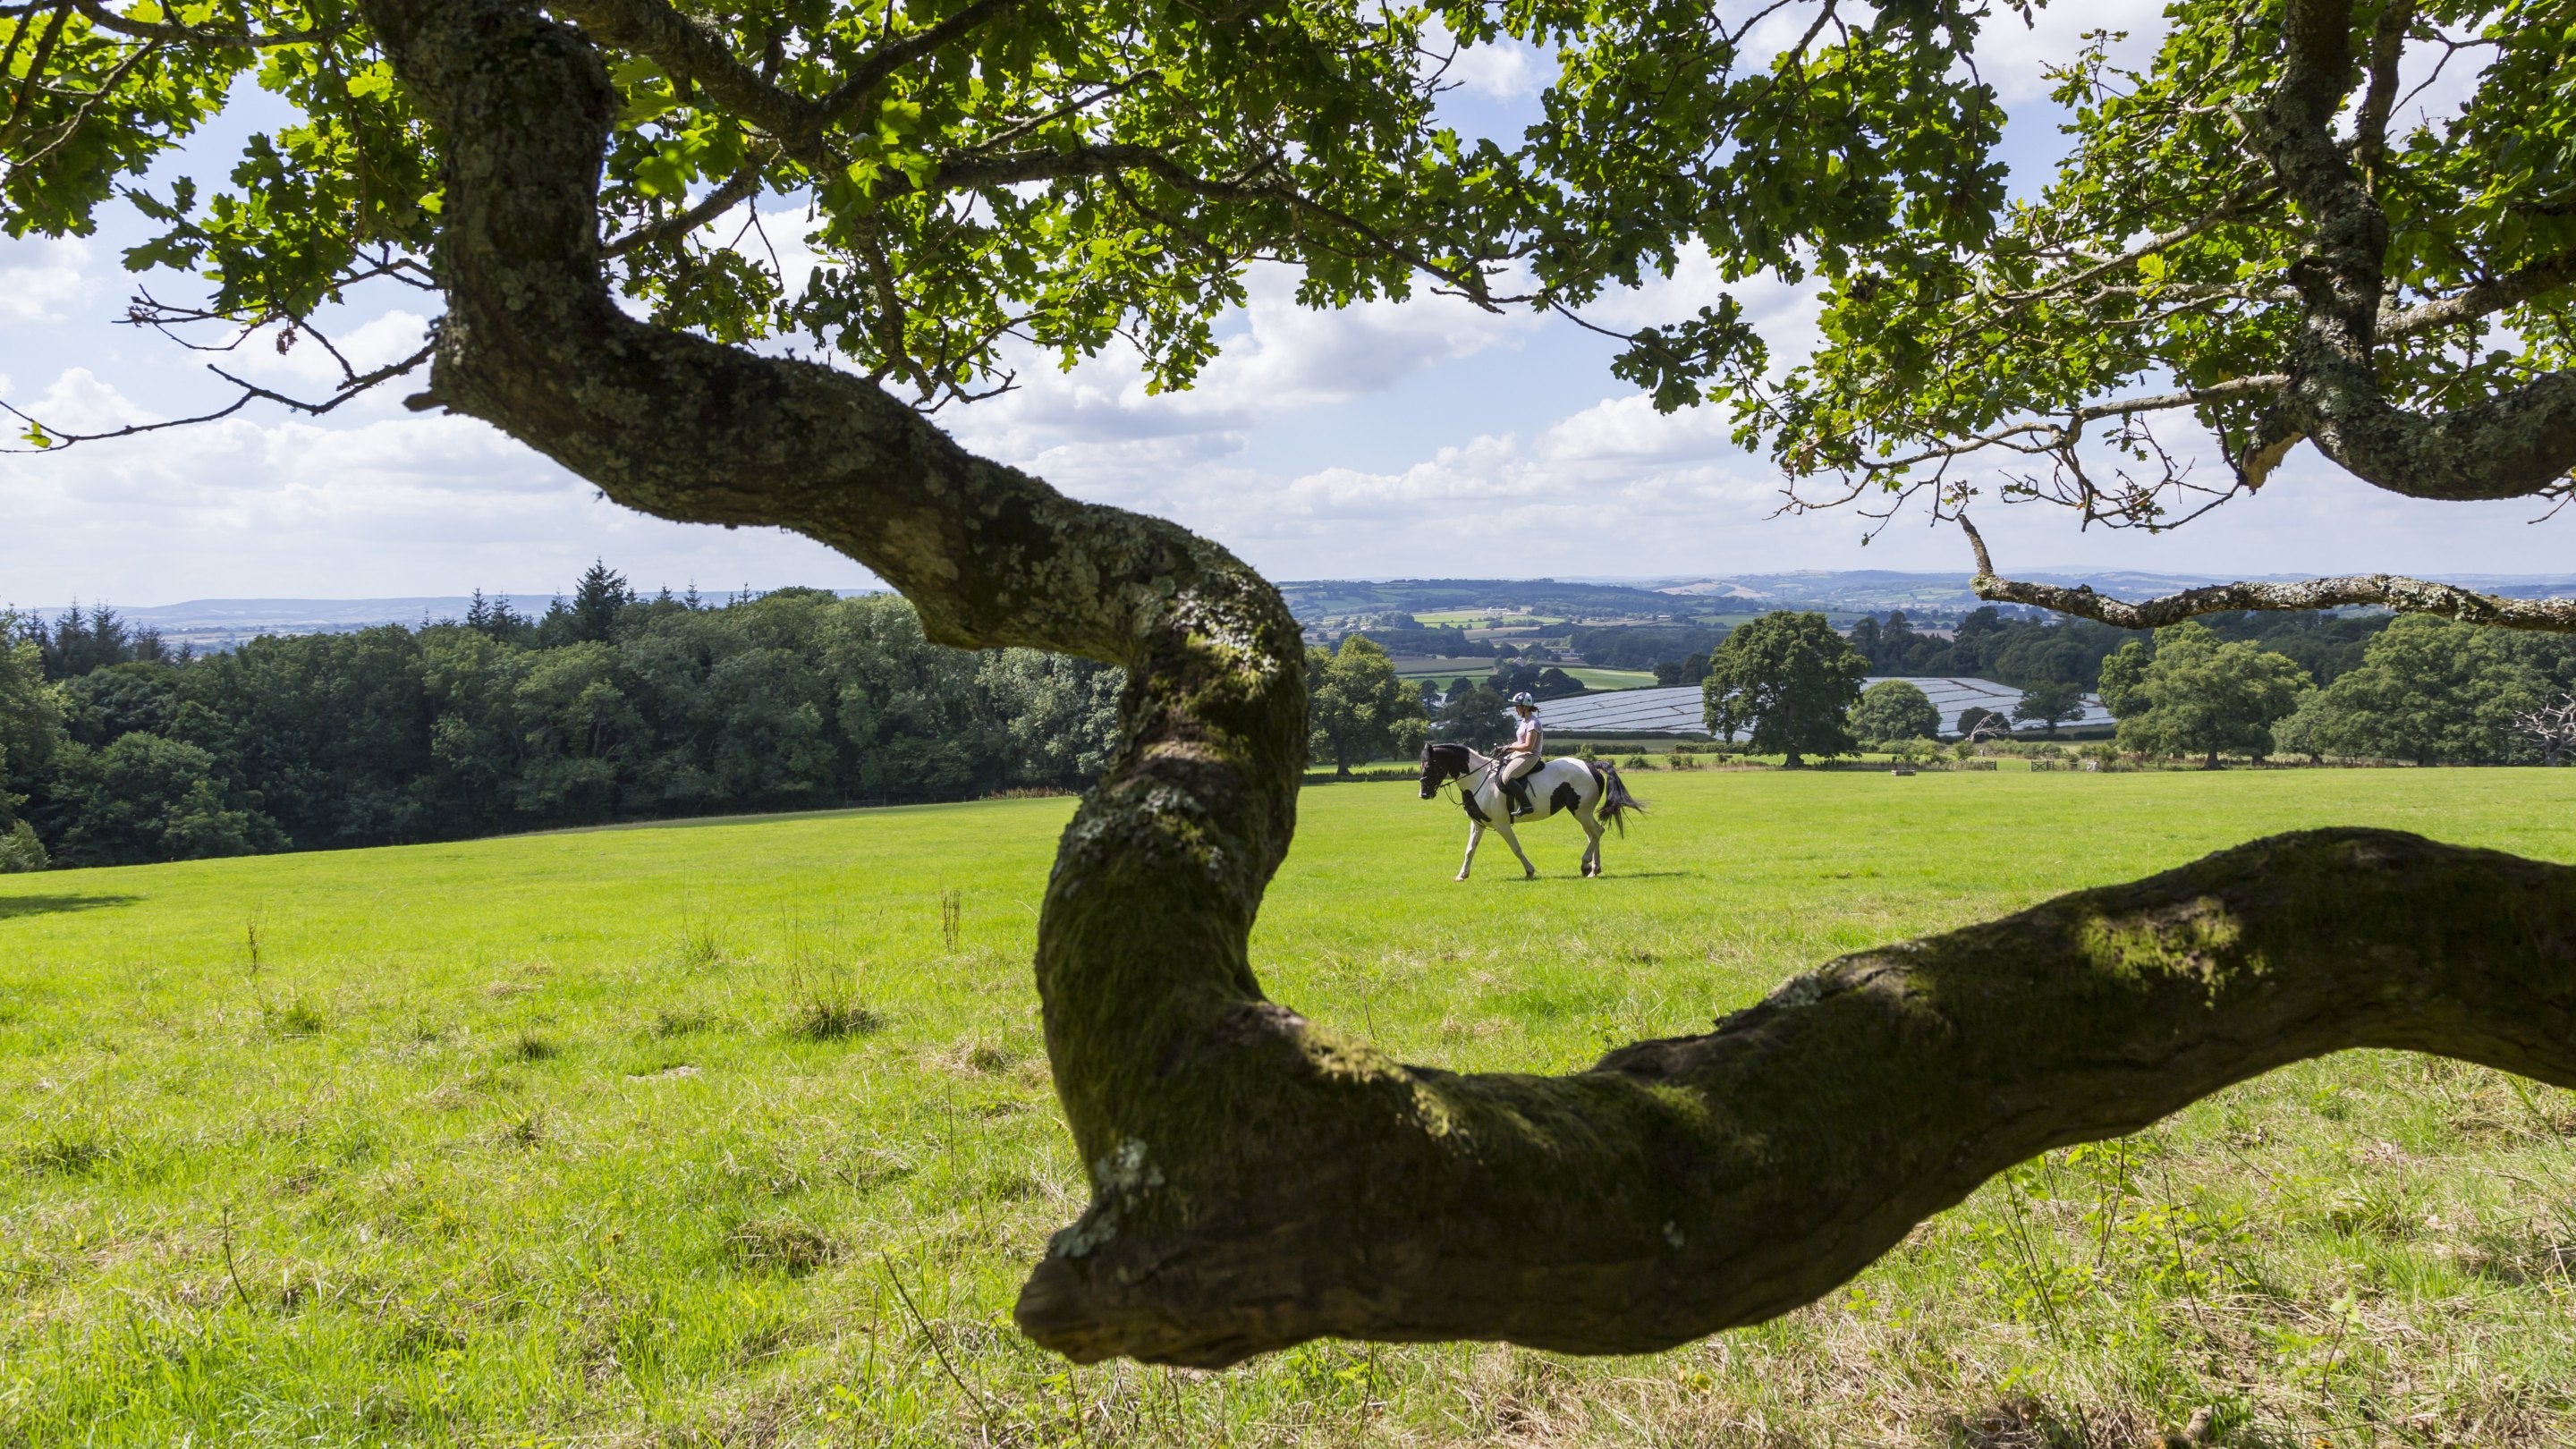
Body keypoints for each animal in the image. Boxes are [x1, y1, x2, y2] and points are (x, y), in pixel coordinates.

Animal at [1417, 742, 1643, 881]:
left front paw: (1529, 871)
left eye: (1429, 765)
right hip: (1582, 813)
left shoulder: (1501, 824)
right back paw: (1594, 869)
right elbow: (1470, 849)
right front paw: (1462, 875)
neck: (1478, 779)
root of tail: (1591, 764)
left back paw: (1586, 865)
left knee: (1597, 832)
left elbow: (1516, 848)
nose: (1423, 794)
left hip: (1581, 811)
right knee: (1593, 835)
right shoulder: (1478, 823)